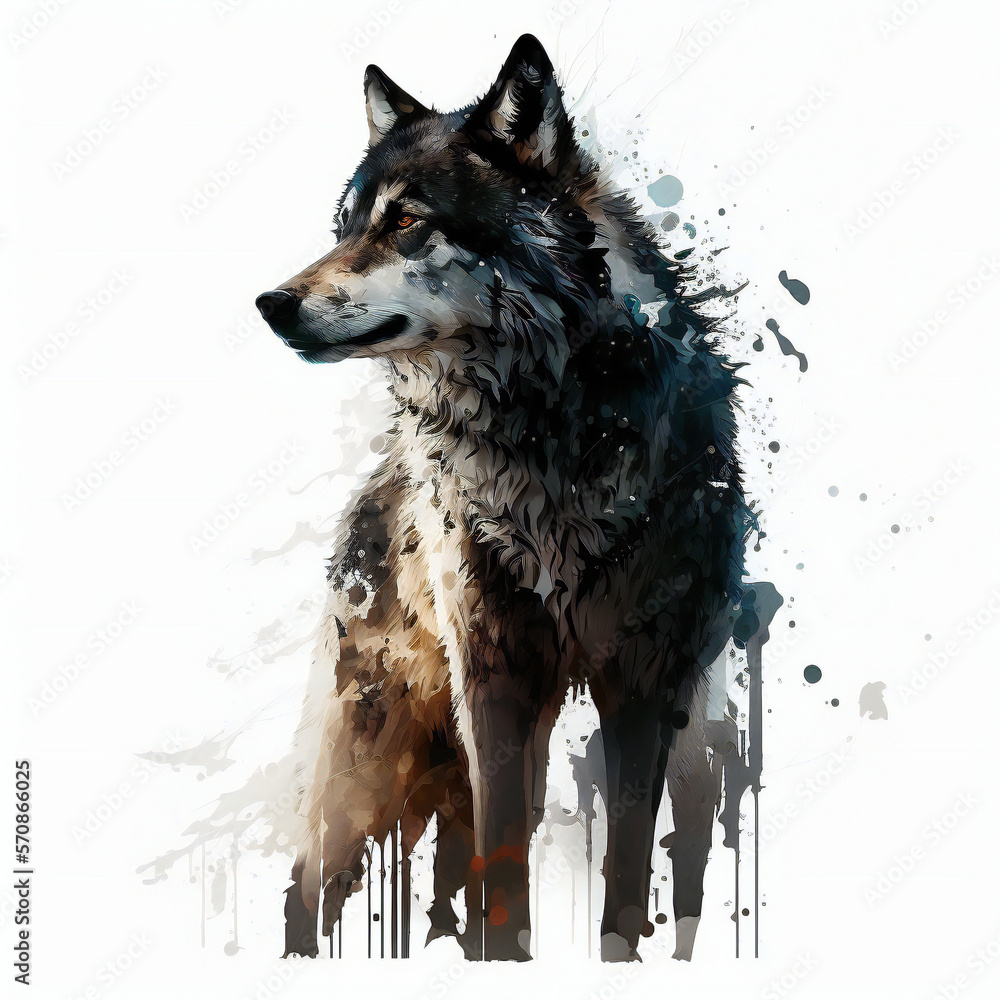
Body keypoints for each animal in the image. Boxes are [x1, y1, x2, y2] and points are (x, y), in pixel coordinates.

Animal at [257, 34, 750, 962]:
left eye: (404, 221)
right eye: (345, 225)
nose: (272, 304)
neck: (548, 437)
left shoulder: (646, 684)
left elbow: (626, 873)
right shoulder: (496, 678)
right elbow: (505, 866)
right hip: (365, 771)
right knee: (309, 889)